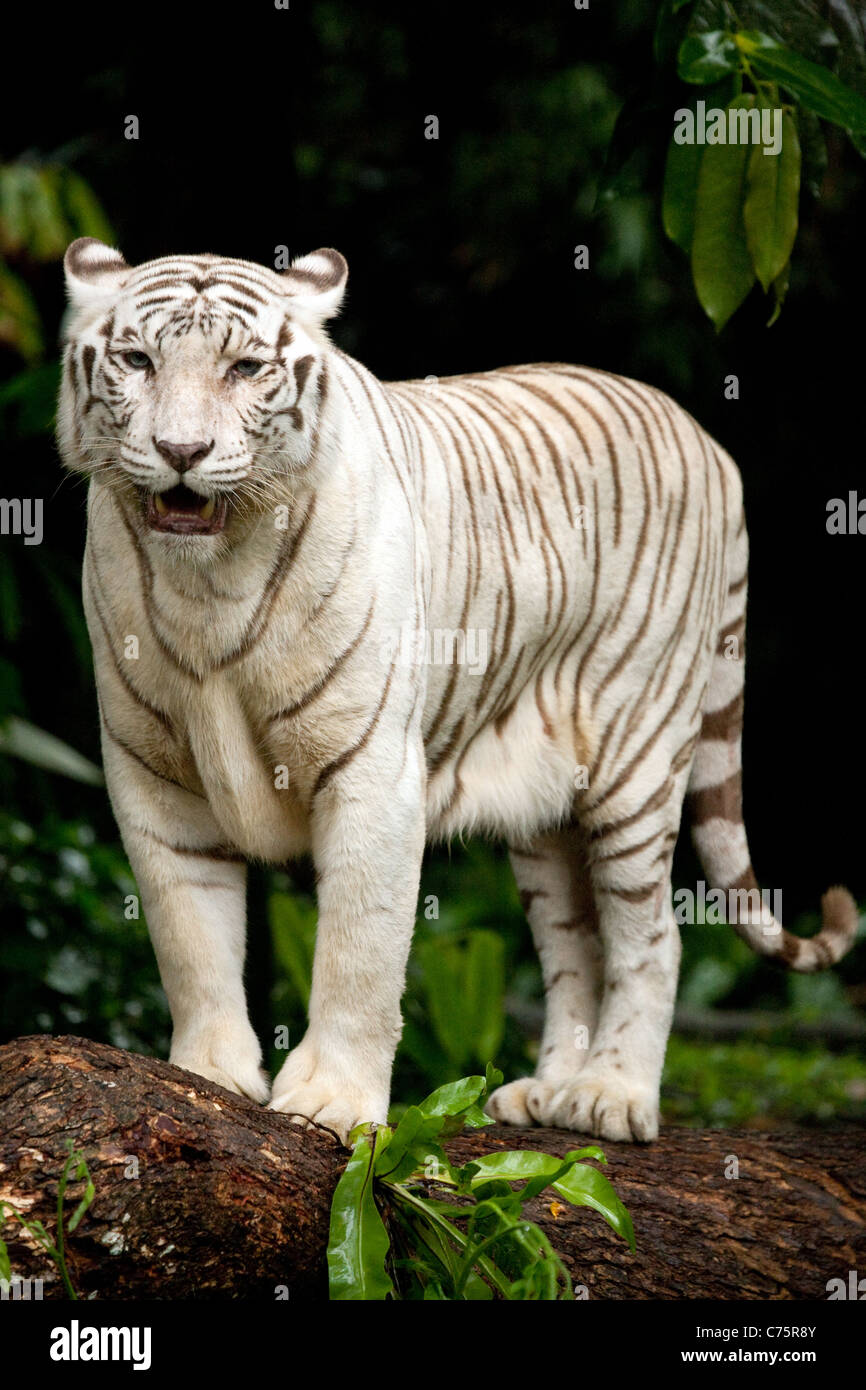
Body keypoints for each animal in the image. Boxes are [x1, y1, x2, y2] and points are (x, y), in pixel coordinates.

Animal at [57, 235, 858, 1144]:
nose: (181, 451)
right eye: (137, 361)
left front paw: (332, 1102)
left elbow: (360, 952)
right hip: (549, 820)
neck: (208, 585)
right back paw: (546, 1093)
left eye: (245, 367)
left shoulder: (371, 769)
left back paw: (611, 1095)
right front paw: (208, 1077)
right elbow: (188, 937)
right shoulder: (153, 774)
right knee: (576, 944)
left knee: (654, 934)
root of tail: (705, 439)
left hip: (639, 758)